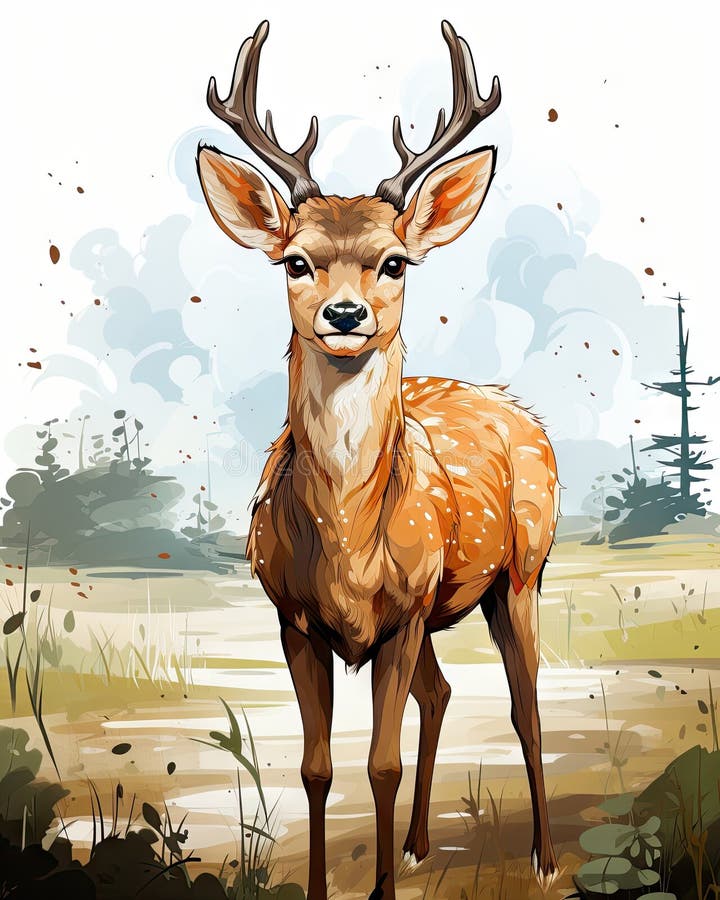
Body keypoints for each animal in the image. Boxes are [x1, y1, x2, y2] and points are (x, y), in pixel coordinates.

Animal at [197, 19, 560, 900]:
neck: (348, 549)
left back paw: (542, 857)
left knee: (526, 706)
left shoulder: (401, 613)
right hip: (441, 607)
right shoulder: (292, 616)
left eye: (395, 261)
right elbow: (318, 768)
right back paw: (421, 844)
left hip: (521, 573)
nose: (345, 313)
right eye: (295, 260)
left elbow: (380, 765)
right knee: (443, 690)